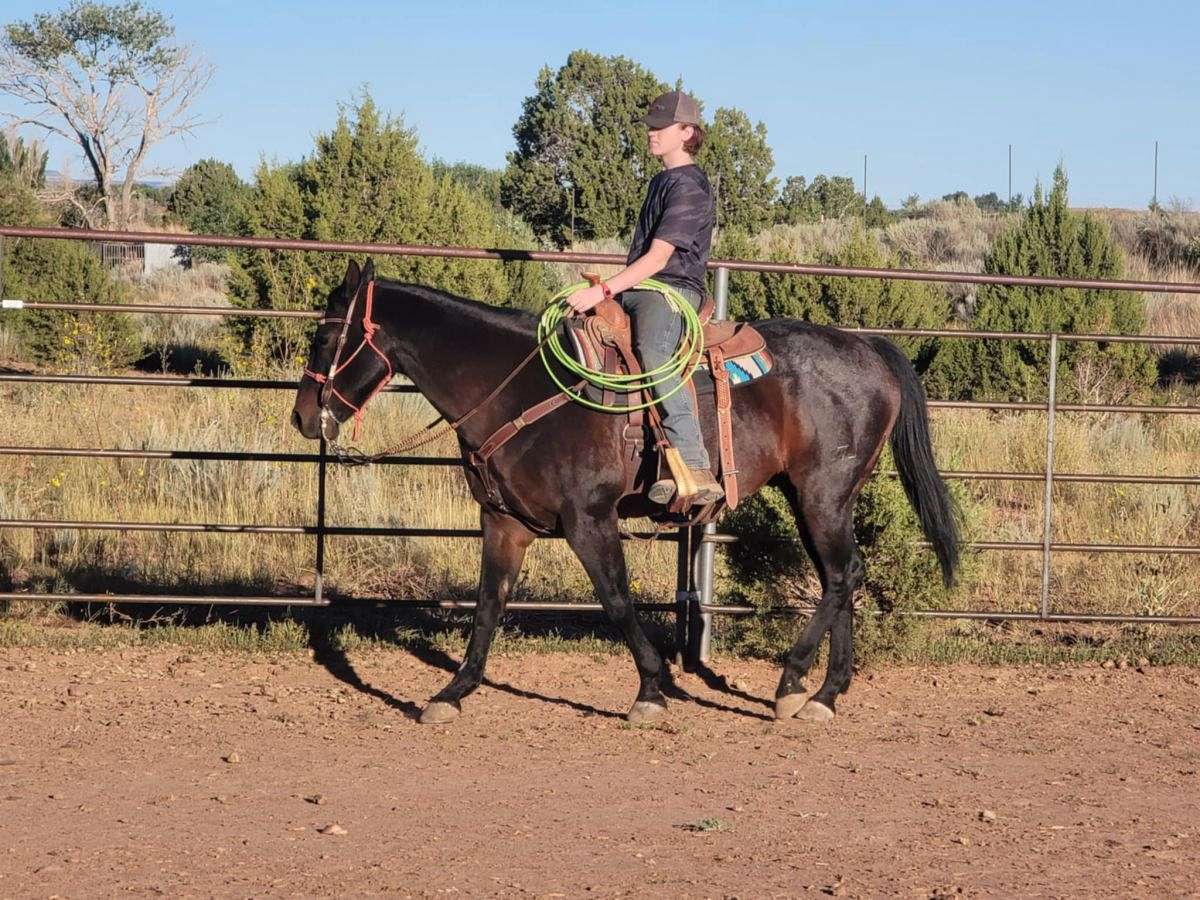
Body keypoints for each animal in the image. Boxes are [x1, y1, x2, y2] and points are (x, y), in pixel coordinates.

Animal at [291, 259, 960, 726]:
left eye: (323, 340)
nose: (301, 417)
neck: (518, 386)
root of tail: (867, 346)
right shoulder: (503, 522)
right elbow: (487, 609)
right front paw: (451, 694)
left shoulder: (589, 519)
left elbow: (616, 600)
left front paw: (650, 691)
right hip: (813, 498)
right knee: (839, 577)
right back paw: (821, 694)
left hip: (823, 494)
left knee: (842, 575)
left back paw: (796, 680)